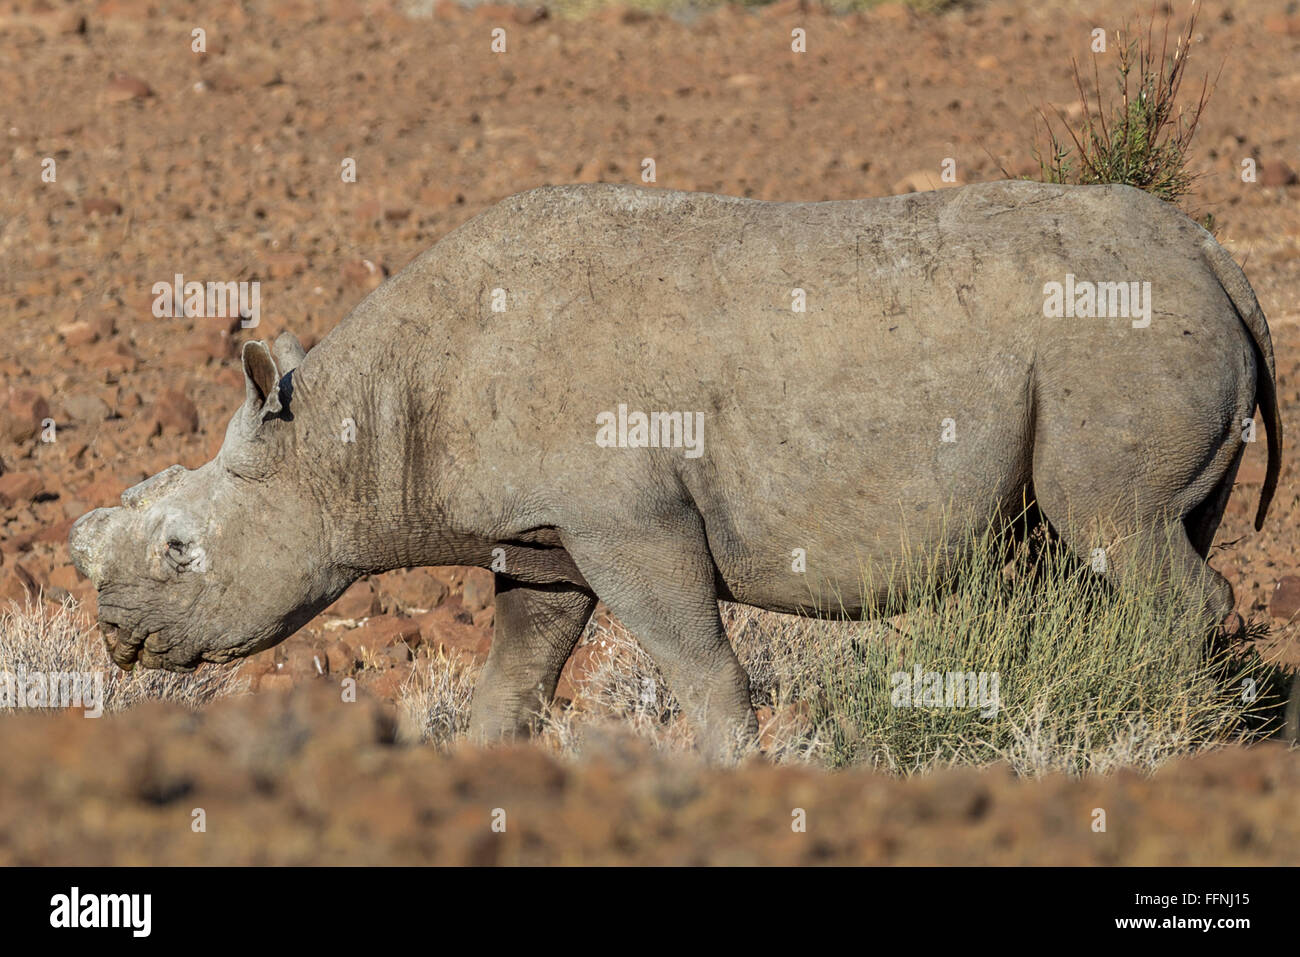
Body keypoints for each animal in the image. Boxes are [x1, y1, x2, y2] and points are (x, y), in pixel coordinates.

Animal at [69, 180, 1281, 758]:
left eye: (182, 551)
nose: (117, 641)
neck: (347, 431)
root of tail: (1212, 250)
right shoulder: (544, 536)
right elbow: (515, 675)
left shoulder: (629, 521)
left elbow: (700, 666)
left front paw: (733, 774)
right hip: (1133, 331)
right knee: (1143, 536)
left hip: (1112, 339)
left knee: (1112, 526)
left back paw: (1162, 737)